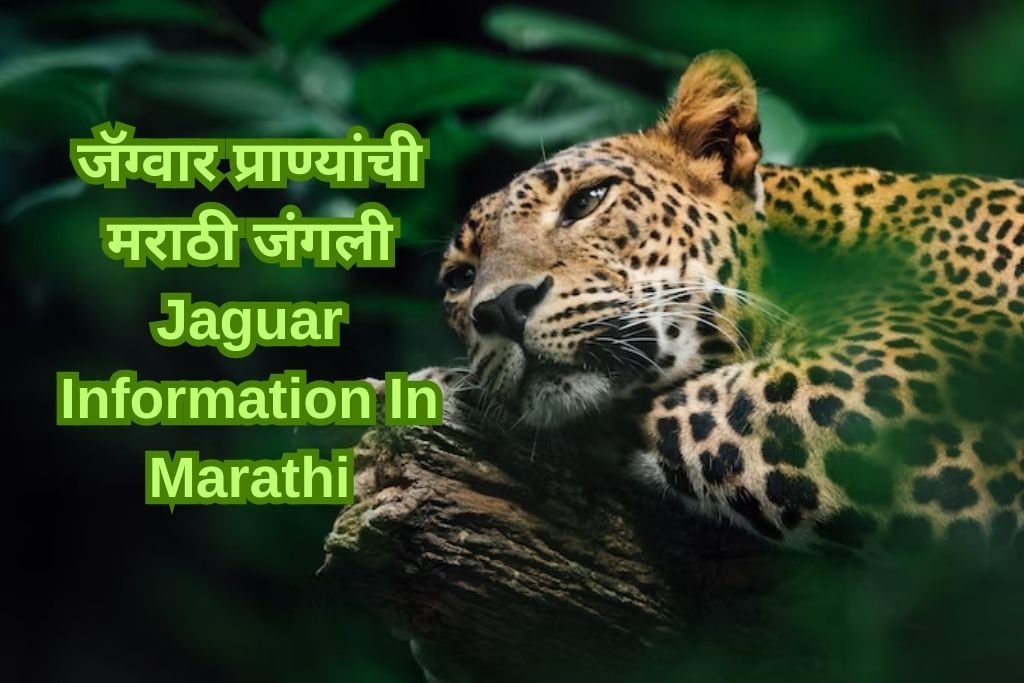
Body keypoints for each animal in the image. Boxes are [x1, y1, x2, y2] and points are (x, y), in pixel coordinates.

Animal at [424, 50, 1024, 556]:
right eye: (460, 277)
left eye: (587, 201)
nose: (502, 308)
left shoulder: (910, 402)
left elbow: (683, 411)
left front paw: (444, 385)